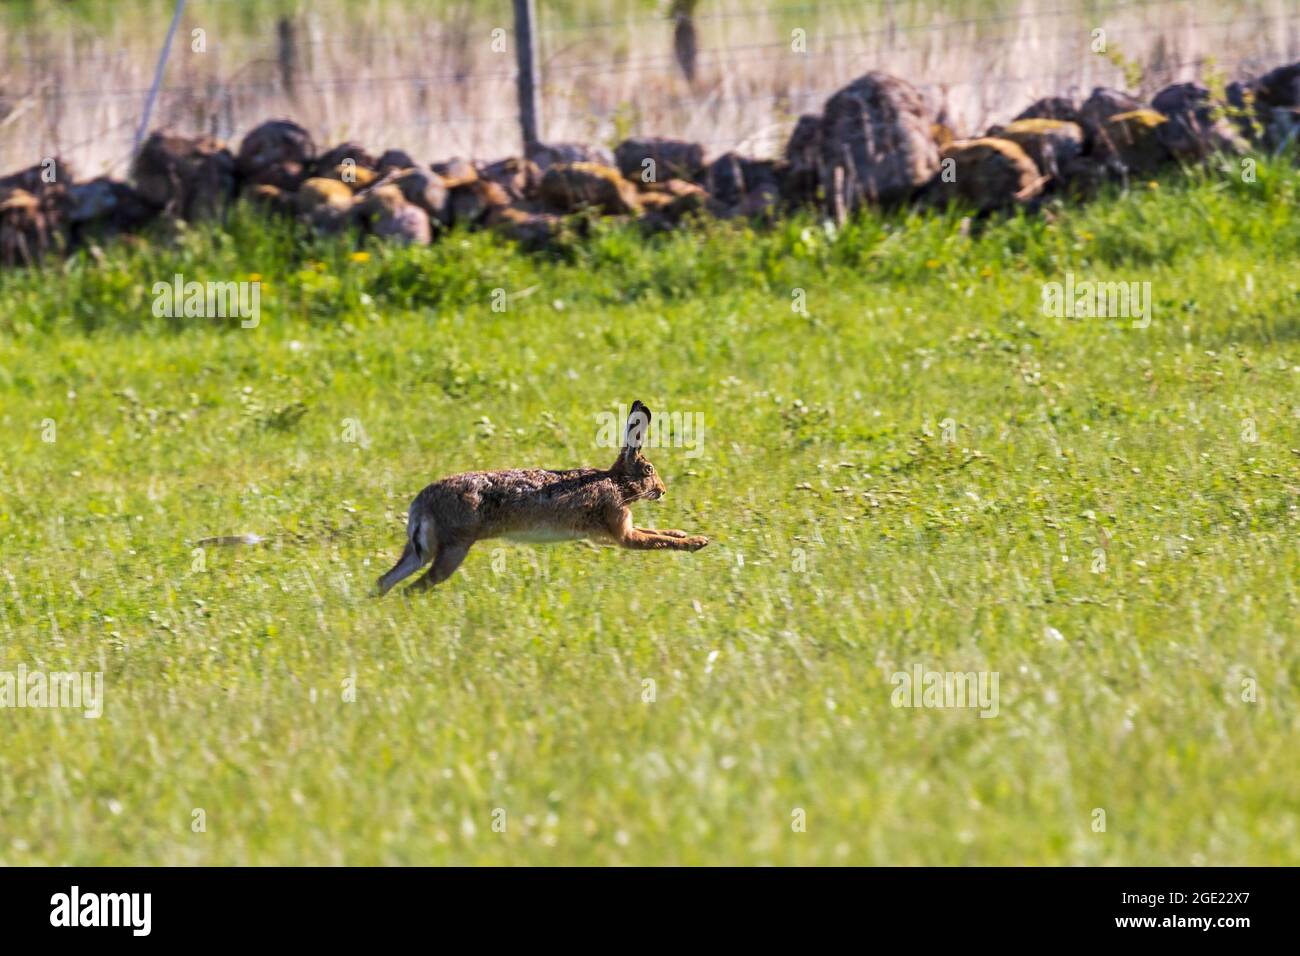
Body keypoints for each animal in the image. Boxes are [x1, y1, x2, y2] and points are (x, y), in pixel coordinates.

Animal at [376, 400, 709, 595]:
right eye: (649, 469)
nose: (663, 490)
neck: (616, 482)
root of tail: (421, 504)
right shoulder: (621, 532)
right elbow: (655, 540)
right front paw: (697, 542)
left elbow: (657, 532)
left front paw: (684, 533)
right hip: (454, 548)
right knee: (415, 586)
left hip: (424, 548)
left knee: (389, 577)